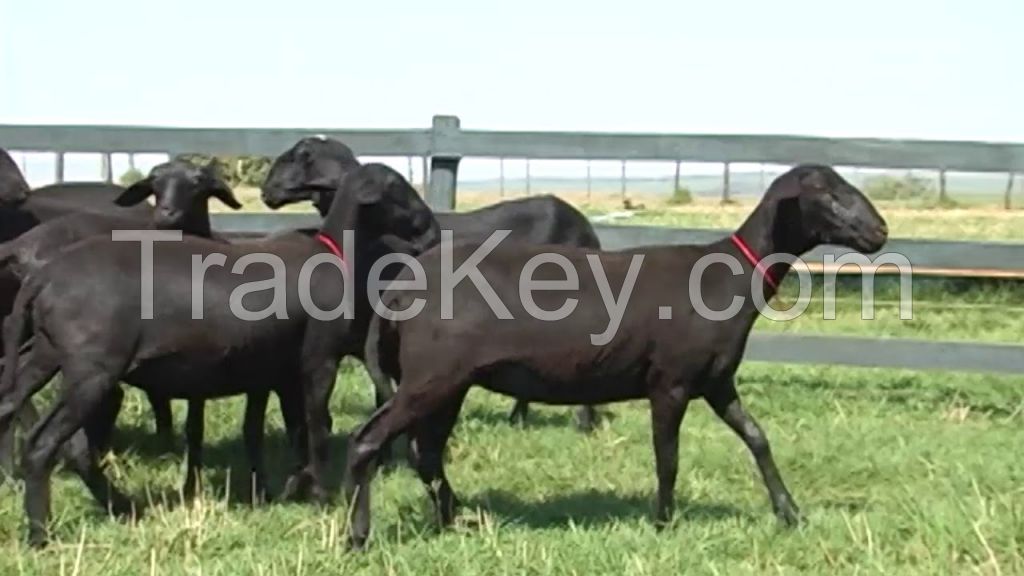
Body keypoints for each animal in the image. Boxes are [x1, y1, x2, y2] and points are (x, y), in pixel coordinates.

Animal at [343, 164, 889, 549]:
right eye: (825, 192)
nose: (880, 232)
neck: (735, 276)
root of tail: (401, 287)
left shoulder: (715, 382)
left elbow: (757, 438)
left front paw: (789, 512)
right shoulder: (669, 381)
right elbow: (667, 458)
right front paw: (664, 522)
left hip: (448, 381)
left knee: (425, 453)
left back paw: (455, 519)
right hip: (432, 376)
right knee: (369, 441)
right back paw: (358, 536)